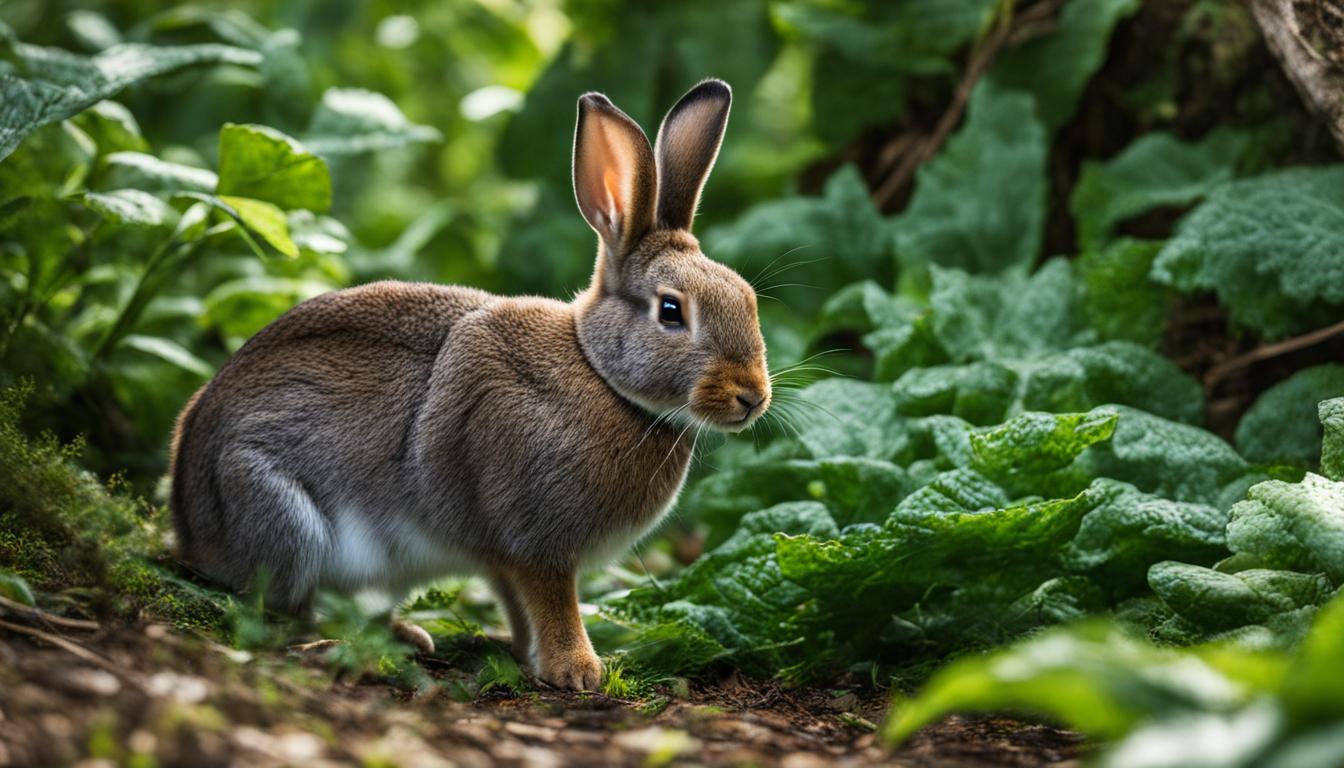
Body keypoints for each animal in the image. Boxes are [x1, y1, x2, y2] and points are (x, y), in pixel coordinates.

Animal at [169, 78, 770, 690]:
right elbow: (554, 604)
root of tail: (189, 519)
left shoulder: (502, 556)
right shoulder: (537, 540)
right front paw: (578, 671)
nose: (752, 397)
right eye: (671, 311)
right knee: (282, 609)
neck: (601, 375)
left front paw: (531, 657)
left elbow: (517, 604)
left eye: (747, 297)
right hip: (281, 513)